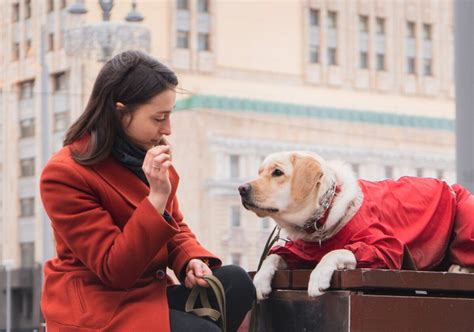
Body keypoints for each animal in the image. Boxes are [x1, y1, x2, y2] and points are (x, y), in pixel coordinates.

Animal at [239, 152, 474, 300]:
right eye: (260, 172)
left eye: (277, 172)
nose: (241, 188)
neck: (325, 209)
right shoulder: (300, 253)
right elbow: (272, 256)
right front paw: (260, 280)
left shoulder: (384, 249)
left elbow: (335, 252)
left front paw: (318, 277)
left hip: (465, 213)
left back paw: (459, 267)